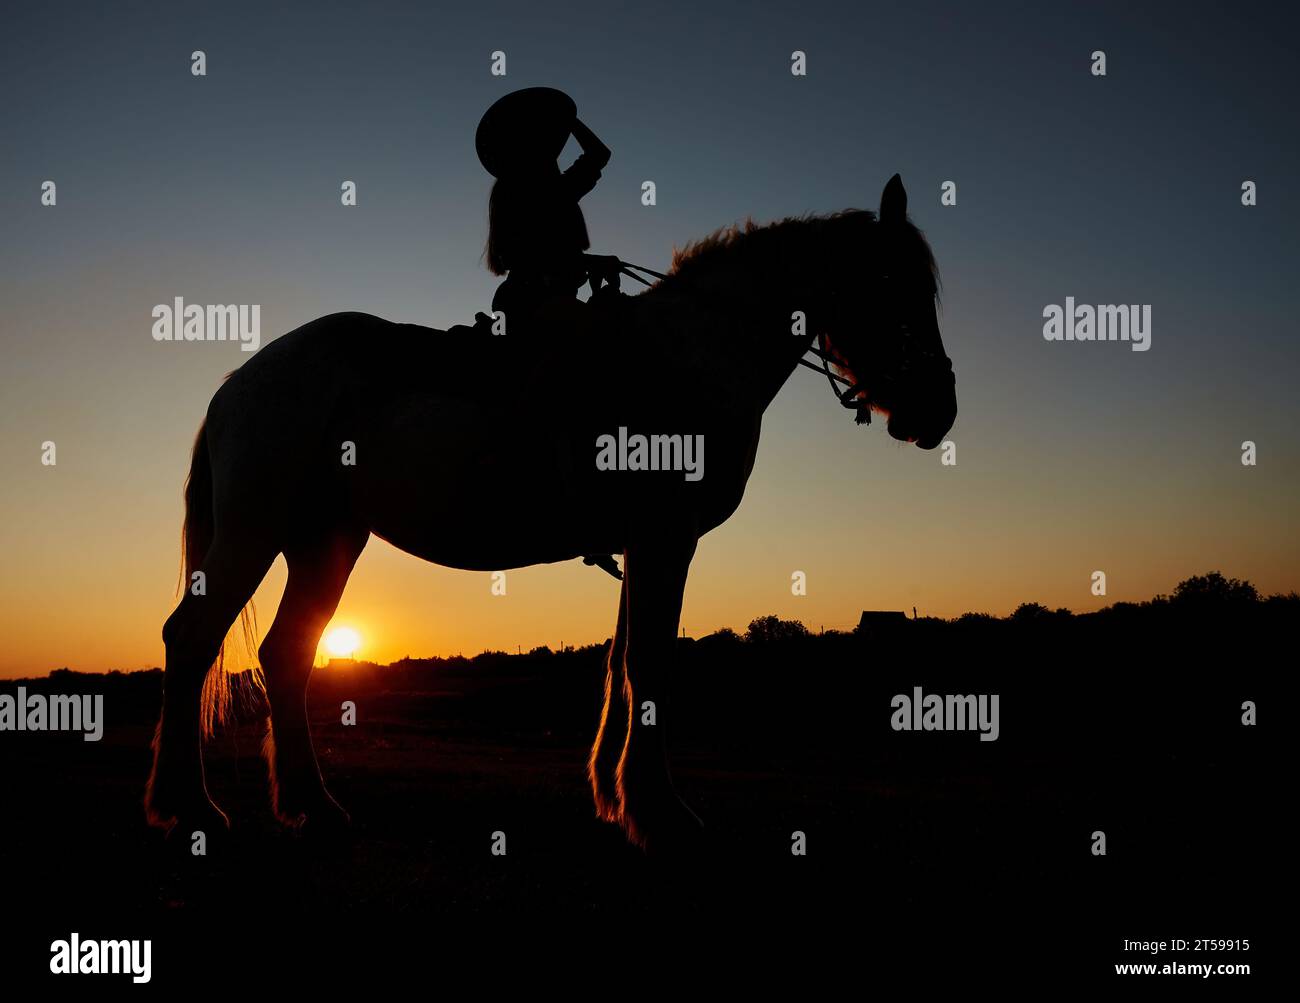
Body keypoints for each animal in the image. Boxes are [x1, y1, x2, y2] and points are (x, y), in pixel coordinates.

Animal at [143, 174, 957, 854]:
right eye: (892, 284)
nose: (939, 410)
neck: (690, 357)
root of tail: (242, 379)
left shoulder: (645, 543)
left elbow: (622, 665)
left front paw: (617, 797)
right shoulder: (667, 539)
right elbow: (650, 664)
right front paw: (659, 811)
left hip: (326, 541)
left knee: (287, 652)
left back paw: (312, 805)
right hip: (254, 531)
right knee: (193, 637)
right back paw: (188, 805)